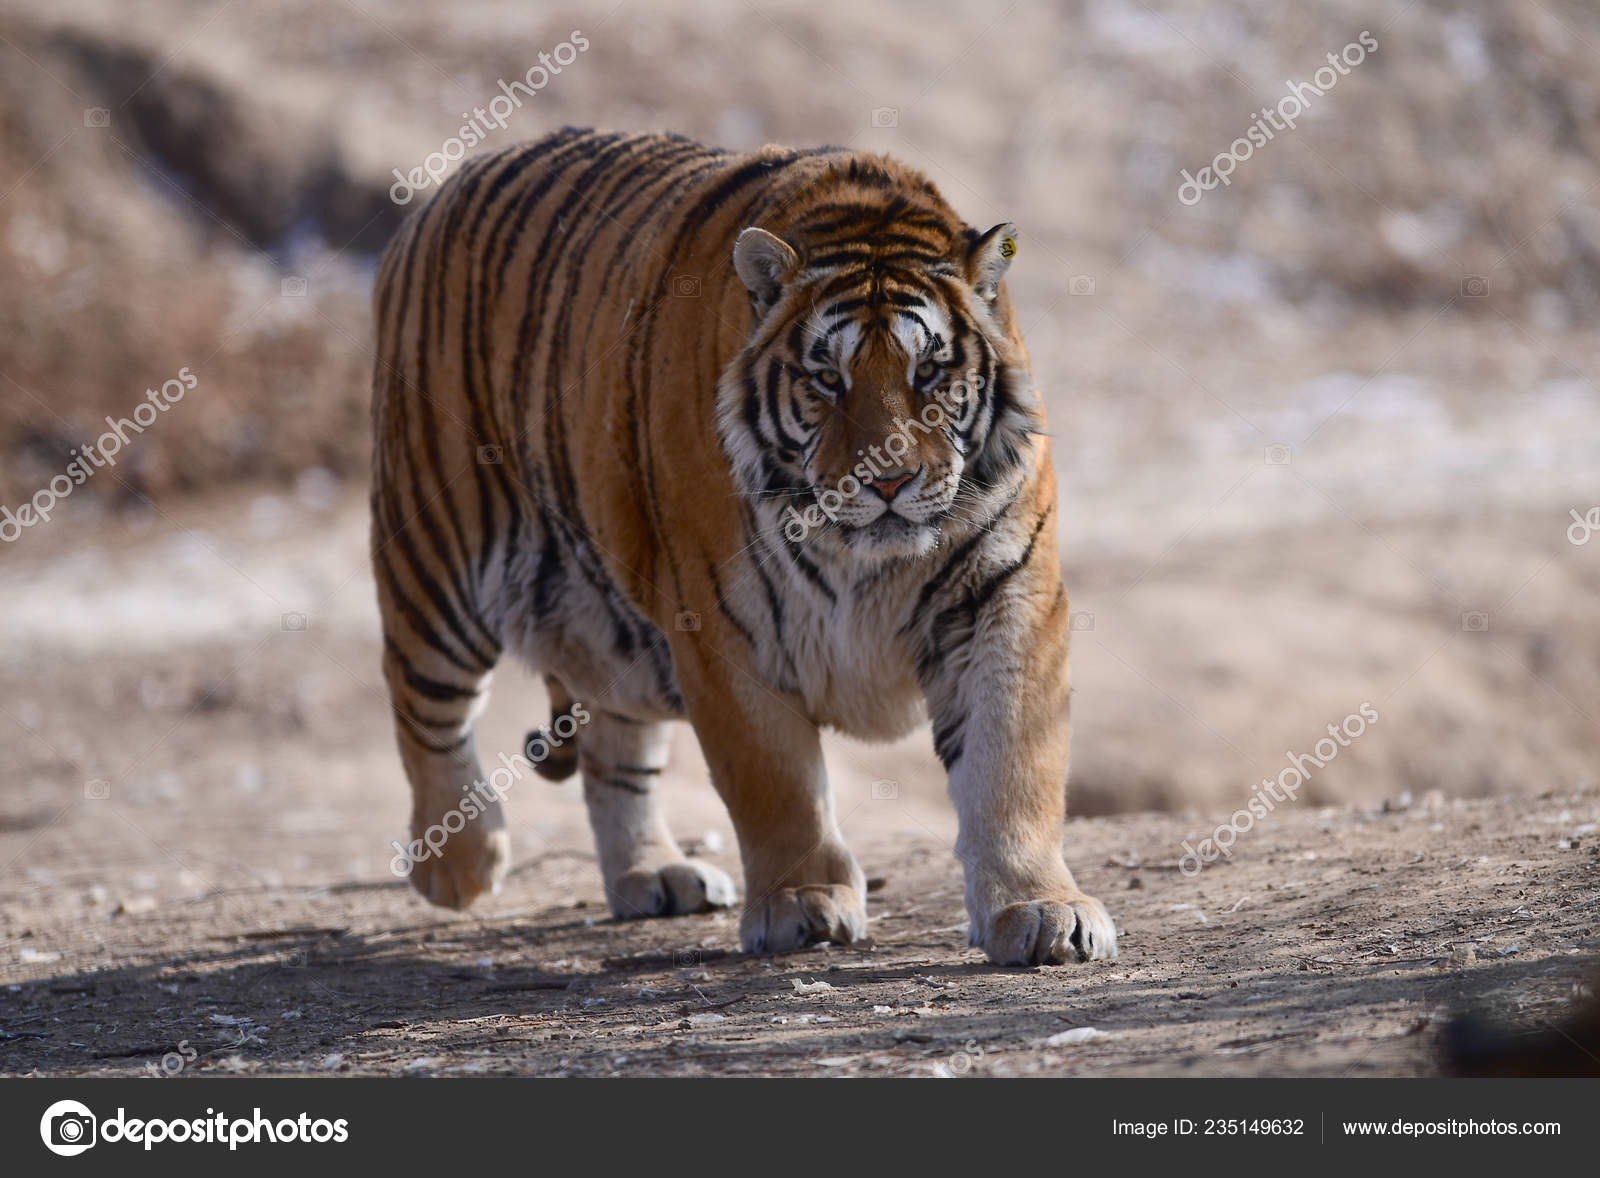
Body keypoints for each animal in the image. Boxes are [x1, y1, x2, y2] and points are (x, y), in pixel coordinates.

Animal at [370, 126, 1116, 966]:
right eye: (827, 379)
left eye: (930, 372)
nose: (888, 480)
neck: (869, 558)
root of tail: (447, 187)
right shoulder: (722, 623)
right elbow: (774, 781)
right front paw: (802, 902)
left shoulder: (1007, 595)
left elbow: (1012, 762)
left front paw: (1042, 909)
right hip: (439, 552)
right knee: (420, 697)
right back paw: (457, 866)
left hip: (610, 626)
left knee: (612, 744)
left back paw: (654, 874)